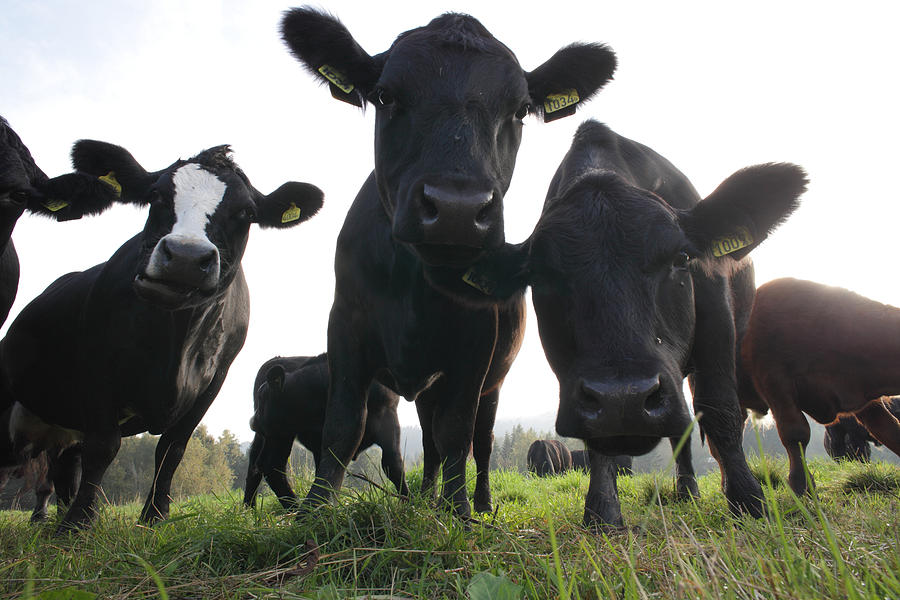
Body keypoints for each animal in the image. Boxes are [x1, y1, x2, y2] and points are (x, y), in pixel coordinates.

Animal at [0, 140, 323, 533]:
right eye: (156, 196)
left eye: (246, 213)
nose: (186, 256)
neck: (176, 343)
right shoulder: (97, 370)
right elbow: (104, 446)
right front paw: (79, 524)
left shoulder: (214, 380)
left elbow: (172, 449)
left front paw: (153, 515)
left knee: (64, 465)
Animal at [244, 353, 409, 510]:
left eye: (262, 398)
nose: (253, 420)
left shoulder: (389, 422)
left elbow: (393, 465)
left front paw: (408, 501)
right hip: (279, 433)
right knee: (271, 464)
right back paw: (292, 508)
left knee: (257, 464)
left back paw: (250, 508)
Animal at [279, 7, 617, 519]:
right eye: (386, 95)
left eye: (520, 109)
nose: (457, 208)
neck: (413, 285)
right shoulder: (345, 326)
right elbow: (342, 424)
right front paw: (315, 511)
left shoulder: (475, 344)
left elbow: (458, 432)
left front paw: (459, 513)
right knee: (431, 442)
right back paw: (427, 498)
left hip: (493, 382)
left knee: (481, 441)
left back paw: (476, 503)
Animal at [452, 120, 807, 528]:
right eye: (540, 276)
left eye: (681, 258)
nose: (624, 399)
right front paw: (602, 509)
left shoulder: (716, 316)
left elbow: (720, 407)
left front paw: (749, 500)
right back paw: (687, 489)